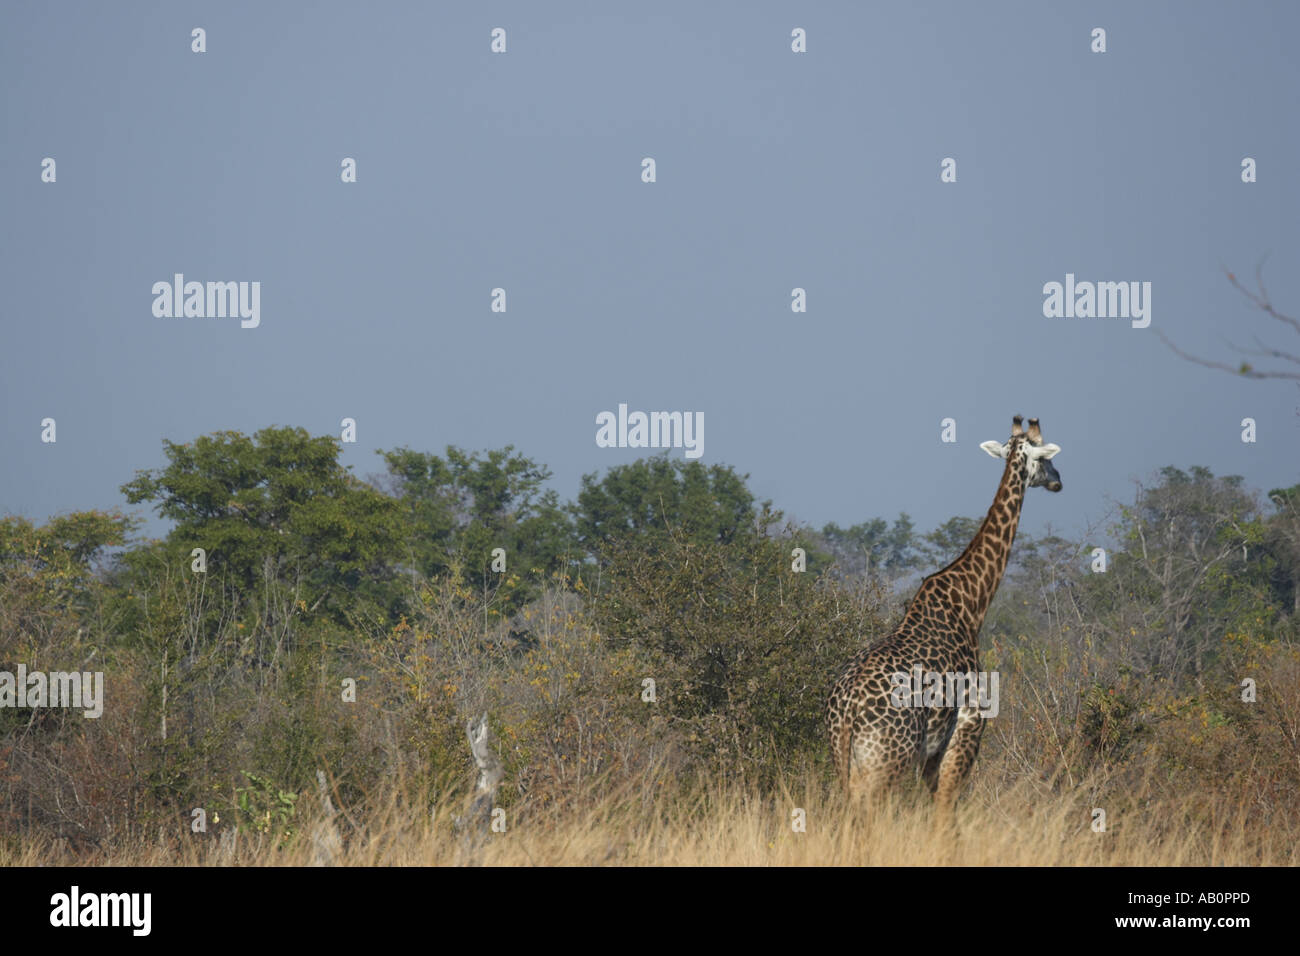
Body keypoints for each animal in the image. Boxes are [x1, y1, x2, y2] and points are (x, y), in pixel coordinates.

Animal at [825, 415, 1062, 810]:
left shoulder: (932, 754)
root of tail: (846, 712)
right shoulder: (968, 728)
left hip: (848, 761)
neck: (970, 603)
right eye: (1046, 458)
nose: (1059, 480)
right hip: (887, 762)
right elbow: (945, 810)